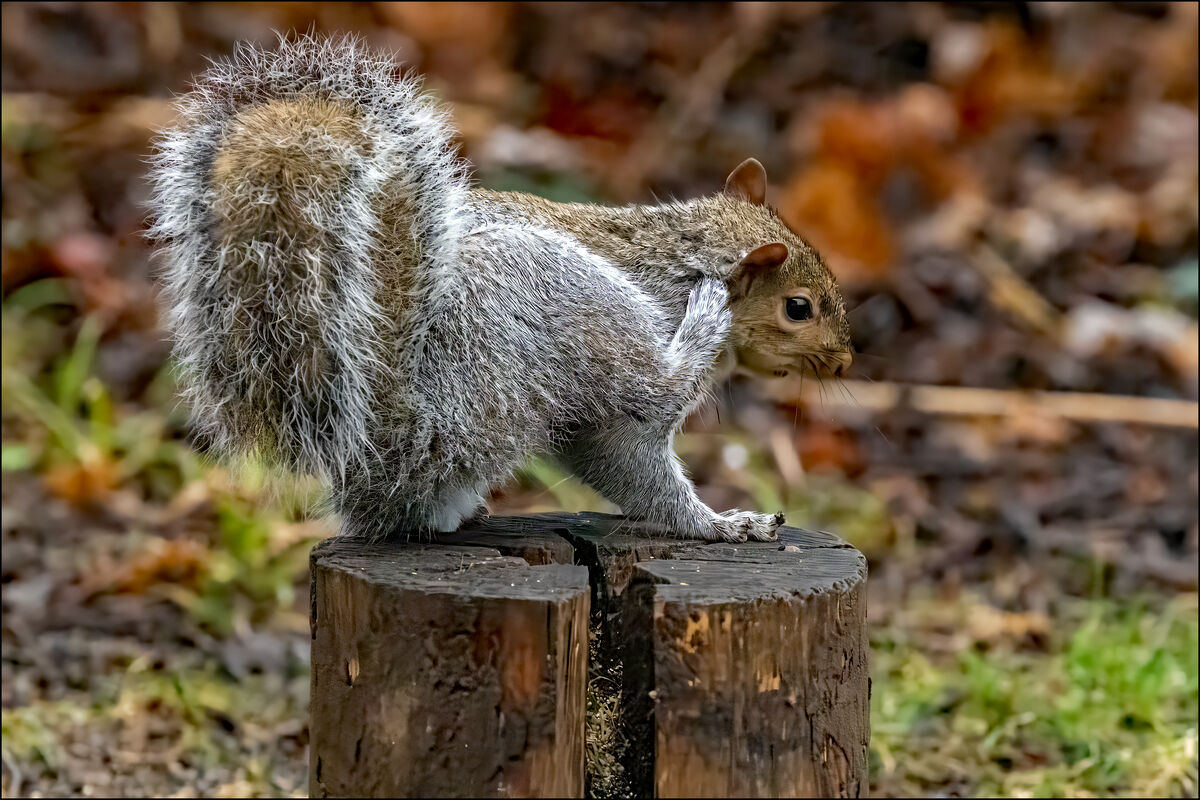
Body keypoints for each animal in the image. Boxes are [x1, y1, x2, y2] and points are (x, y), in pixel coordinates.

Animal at [148, 34, 853, 544]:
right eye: (799, 308)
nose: (844, 361)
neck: (673, 257)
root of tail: (388, 438)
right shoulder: (617, 411)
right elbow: (630, 461)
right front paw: (721, 524)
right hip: (560, 300)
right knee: (652, 377)